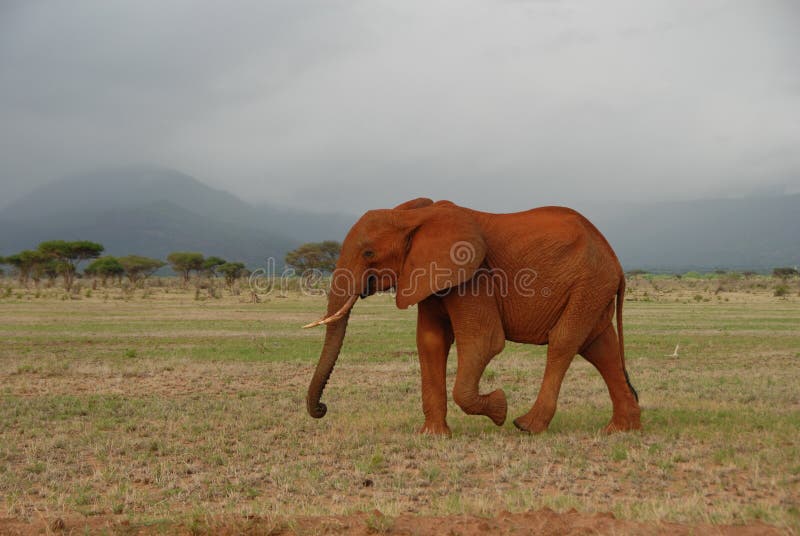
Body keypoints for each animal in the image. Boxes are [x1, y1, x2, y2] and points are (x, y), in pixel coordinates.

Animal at [304, 198, 641, 435]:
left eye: (368, 254)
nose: (322, 407)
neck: (414, 217)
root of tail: (616, 259)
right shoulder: (430, 276)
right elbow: (430, 342)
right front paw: (433, 435)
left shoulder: (474, 275)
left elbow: (484, 341)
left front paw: (500, 407)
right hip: (593, 290)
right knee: (600, 347)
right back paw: (620, 430)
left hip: (589, 283)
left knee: (564, 342)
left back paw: (527, 426)